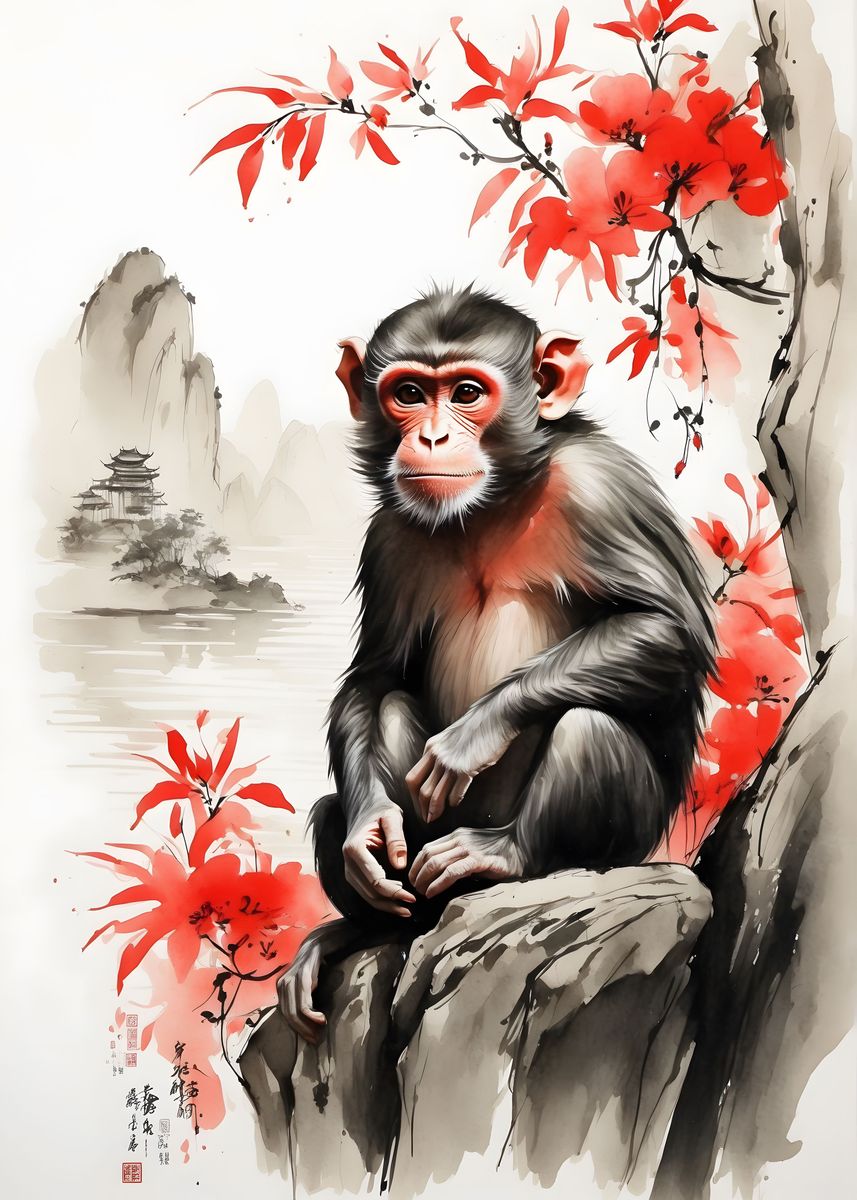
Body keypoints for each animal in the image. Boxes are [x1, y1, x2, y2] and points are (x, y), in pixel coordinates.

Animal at [277, 286, 715, 1042]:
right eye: (410, 393)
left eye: (467, 393)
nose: (430, 438)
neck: (495, 500)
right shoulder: (387, 537)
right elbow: (375, 678)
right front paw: (368, 832)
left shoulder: (603, 490)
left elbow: (665, 629)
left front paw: (471, 736)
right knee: (389, 719)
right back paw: (360, 928)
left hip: (623, 841)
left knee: (586, 726)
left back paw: (504, 854)